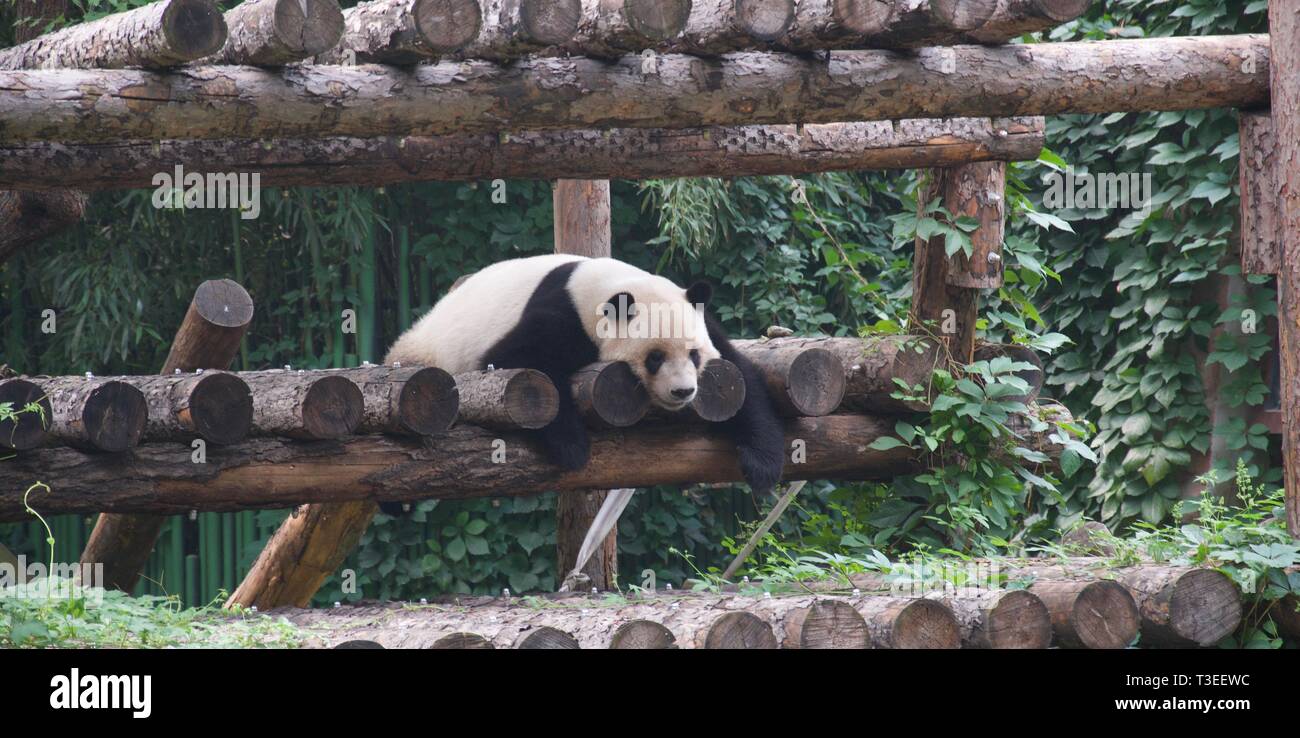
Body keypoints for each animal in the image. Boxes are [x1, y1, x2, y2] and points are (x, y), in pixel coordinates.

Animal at [385, 254, 785, 496]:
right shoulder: (565, 315)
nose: (683, 392)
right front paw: (573, 446)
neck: (603, 286)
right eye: (655, 358)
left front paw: (763, 464)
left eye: (694, 354)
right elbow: (520, 365)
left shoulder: (704, 323)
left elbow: (741, 373)